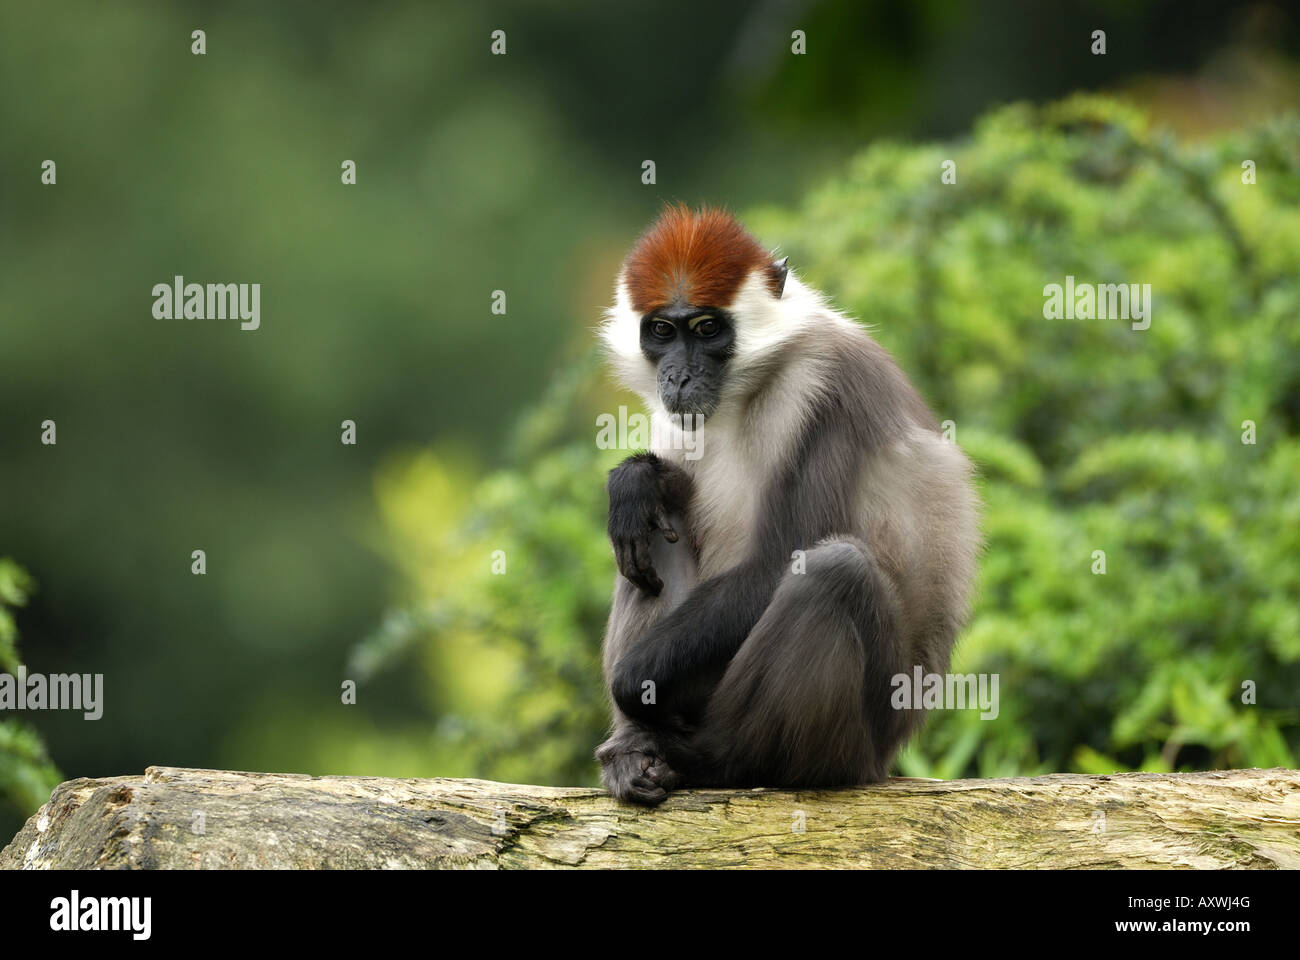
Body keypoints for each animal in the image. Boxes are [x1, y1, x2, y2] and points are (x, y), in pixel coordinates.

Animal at [593, 204, 980, 805]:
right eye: (662, 330)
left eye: (707, 329)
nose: (678, 376)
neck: (747, 390)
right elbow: (658, 493)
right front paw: (633, 480)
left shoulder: (824, 386)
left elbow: (782, 559)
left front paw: (633, 685)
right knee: (651, 525)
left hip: (856, 736)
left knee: (836, 570)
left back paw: (714, 760)